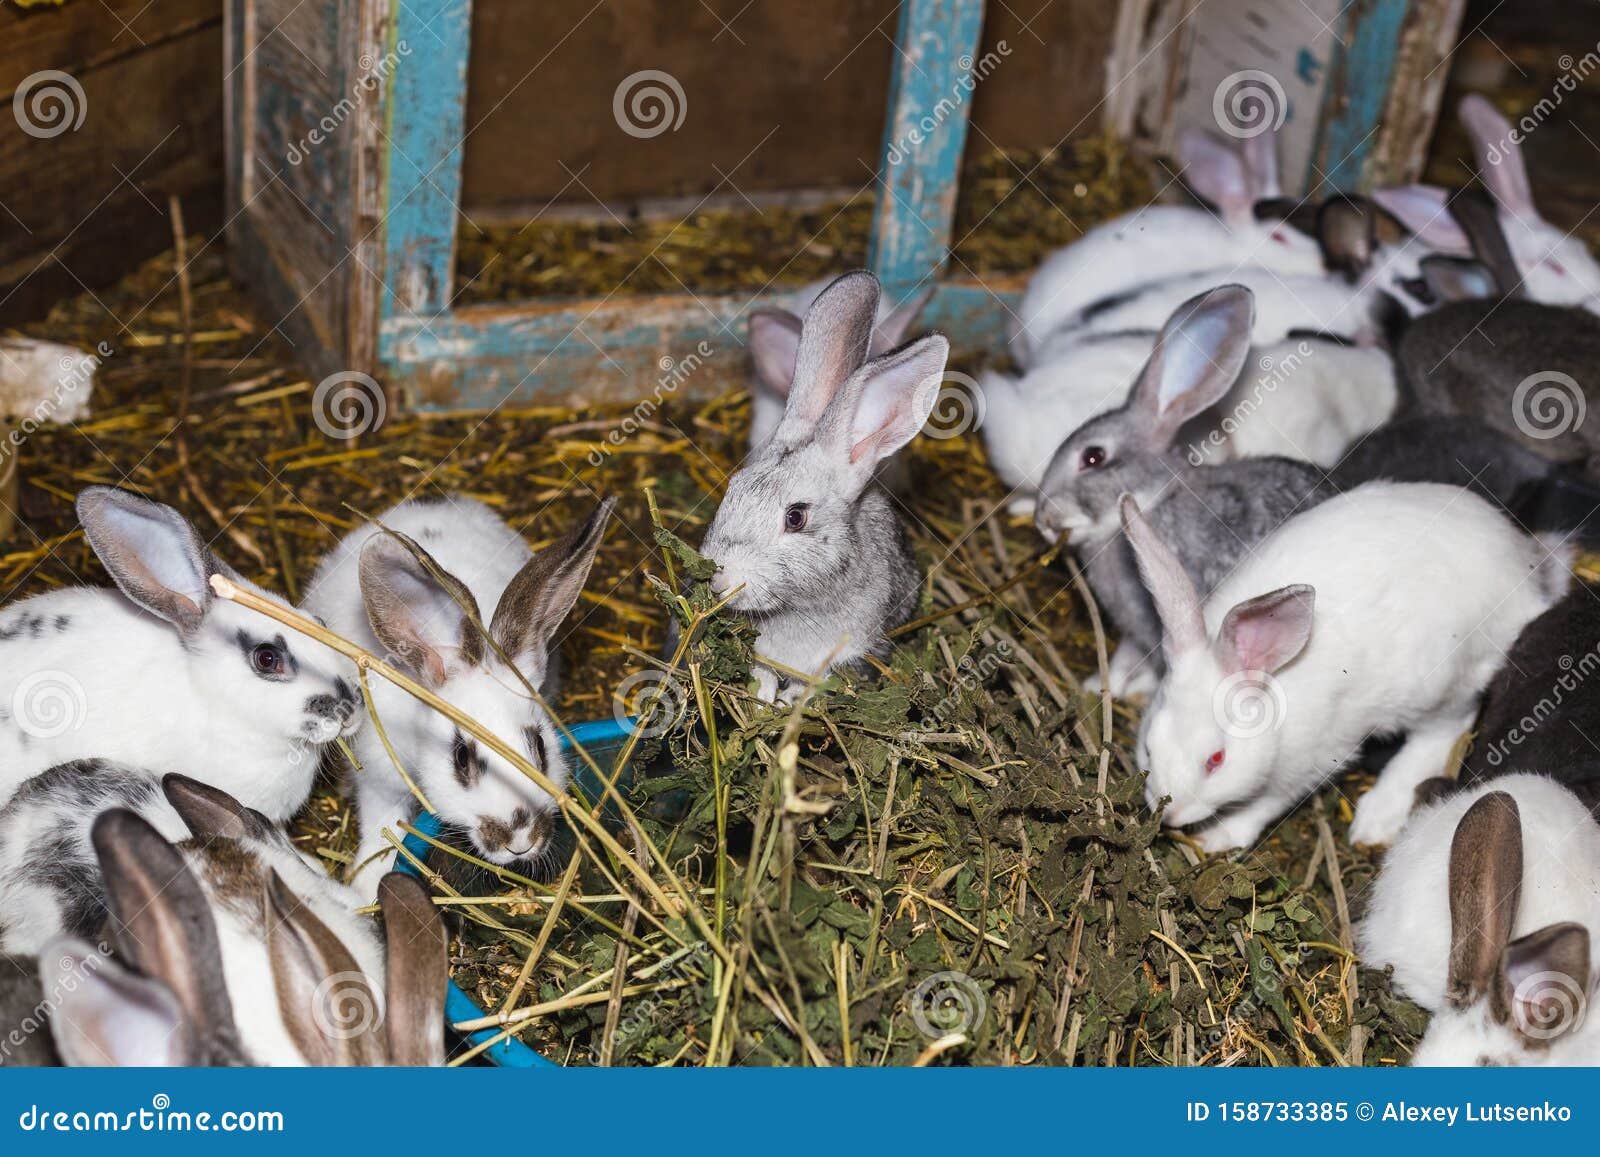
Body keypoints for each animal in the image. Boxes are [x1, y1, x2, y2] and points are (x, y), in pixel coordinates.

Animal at [301, 494, 613, 897]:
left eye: (540, 748)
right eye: (461, 758)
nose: (520, 841)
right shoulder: (380, 774)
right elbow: (382, 824)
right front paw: (369, 886)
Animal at [699, 270, 947, 703]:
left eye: (796, 518)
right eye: (733, 488)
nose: (720, 582)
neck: (798, 607)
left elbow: (808, 685)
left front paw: (786, 701)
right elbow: (762, 672)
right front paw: (763, 699)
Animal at [1123, 479, 1569, 853]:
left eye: (1216, 760)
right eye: (1149, 747)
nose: (1171, 813)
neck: (1271, 685)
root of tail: (1523, 574)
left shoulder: (1310, 762)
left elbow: (1263, 804)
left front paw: (1218, 837)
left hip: (1441, 685)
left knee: (1446, 729)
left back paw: (1378, 817)